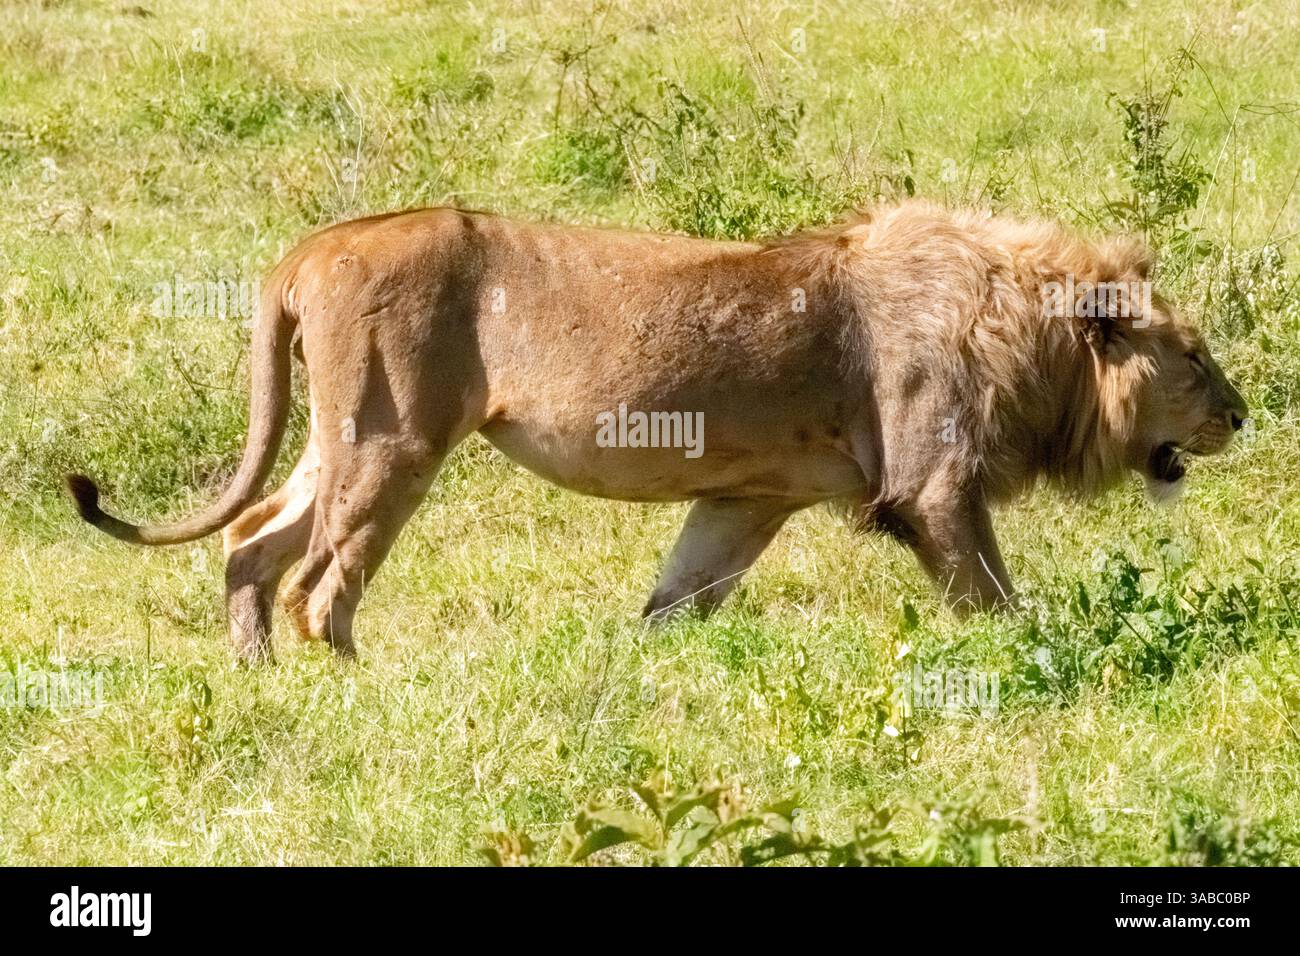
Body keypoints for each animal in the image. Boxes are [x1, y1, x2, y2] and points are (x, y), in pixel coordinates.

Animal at [66, 201, 1248, 661]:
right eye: (1191, 357)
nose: (1241, 415)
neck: (1028, 332)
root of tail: (315, 245)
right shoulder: (930, 485)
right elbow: (996, 599)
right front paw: (1046, 656)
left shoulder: (749, 497)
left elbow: (678, 595)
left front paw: (640, 668)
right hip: (393, 443)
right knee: (320, 586)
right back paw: (358, 687)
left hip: (340, 437)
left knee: (250, 542)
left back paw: (255, 673)